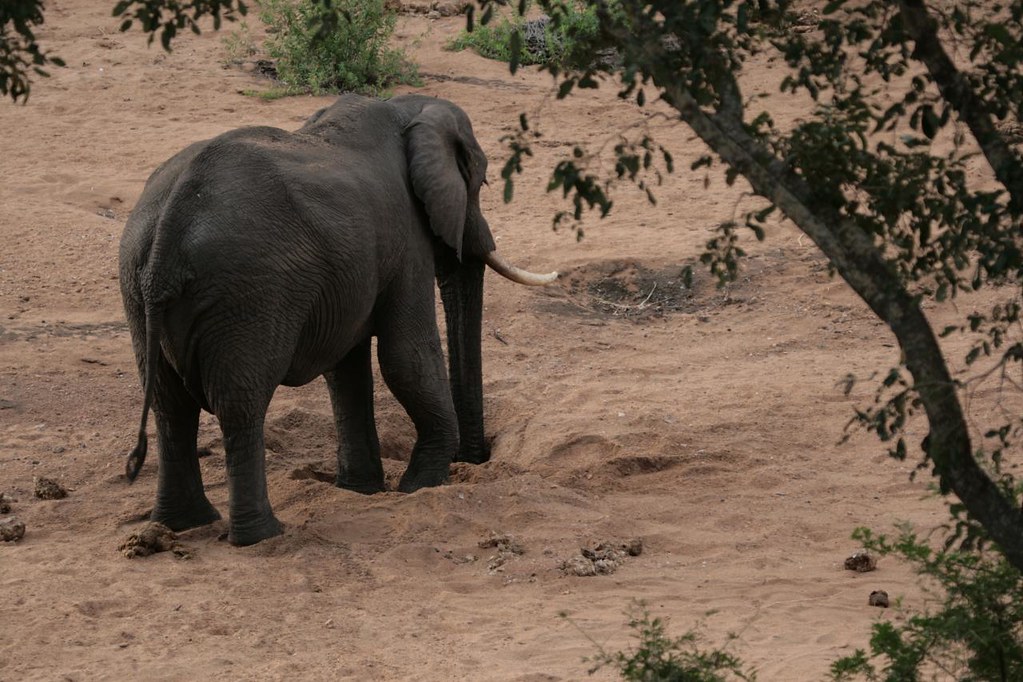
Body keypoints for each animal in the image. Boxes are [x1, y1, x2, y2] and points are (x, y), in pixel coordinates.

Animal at [119, 93, 556, 546]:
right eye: (481, 182)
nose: (475, 461)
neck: (403, 109)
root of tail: (171, 224)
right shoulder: (406, 236)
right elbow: (407, 357)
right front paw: (422, 486)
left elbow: (345, 368)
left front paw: (363, 490)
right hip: (247, 296)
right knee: (239, 404)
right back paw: (262, 536)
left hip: (137, 287)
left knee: (170, 406)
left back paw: (183, 524)